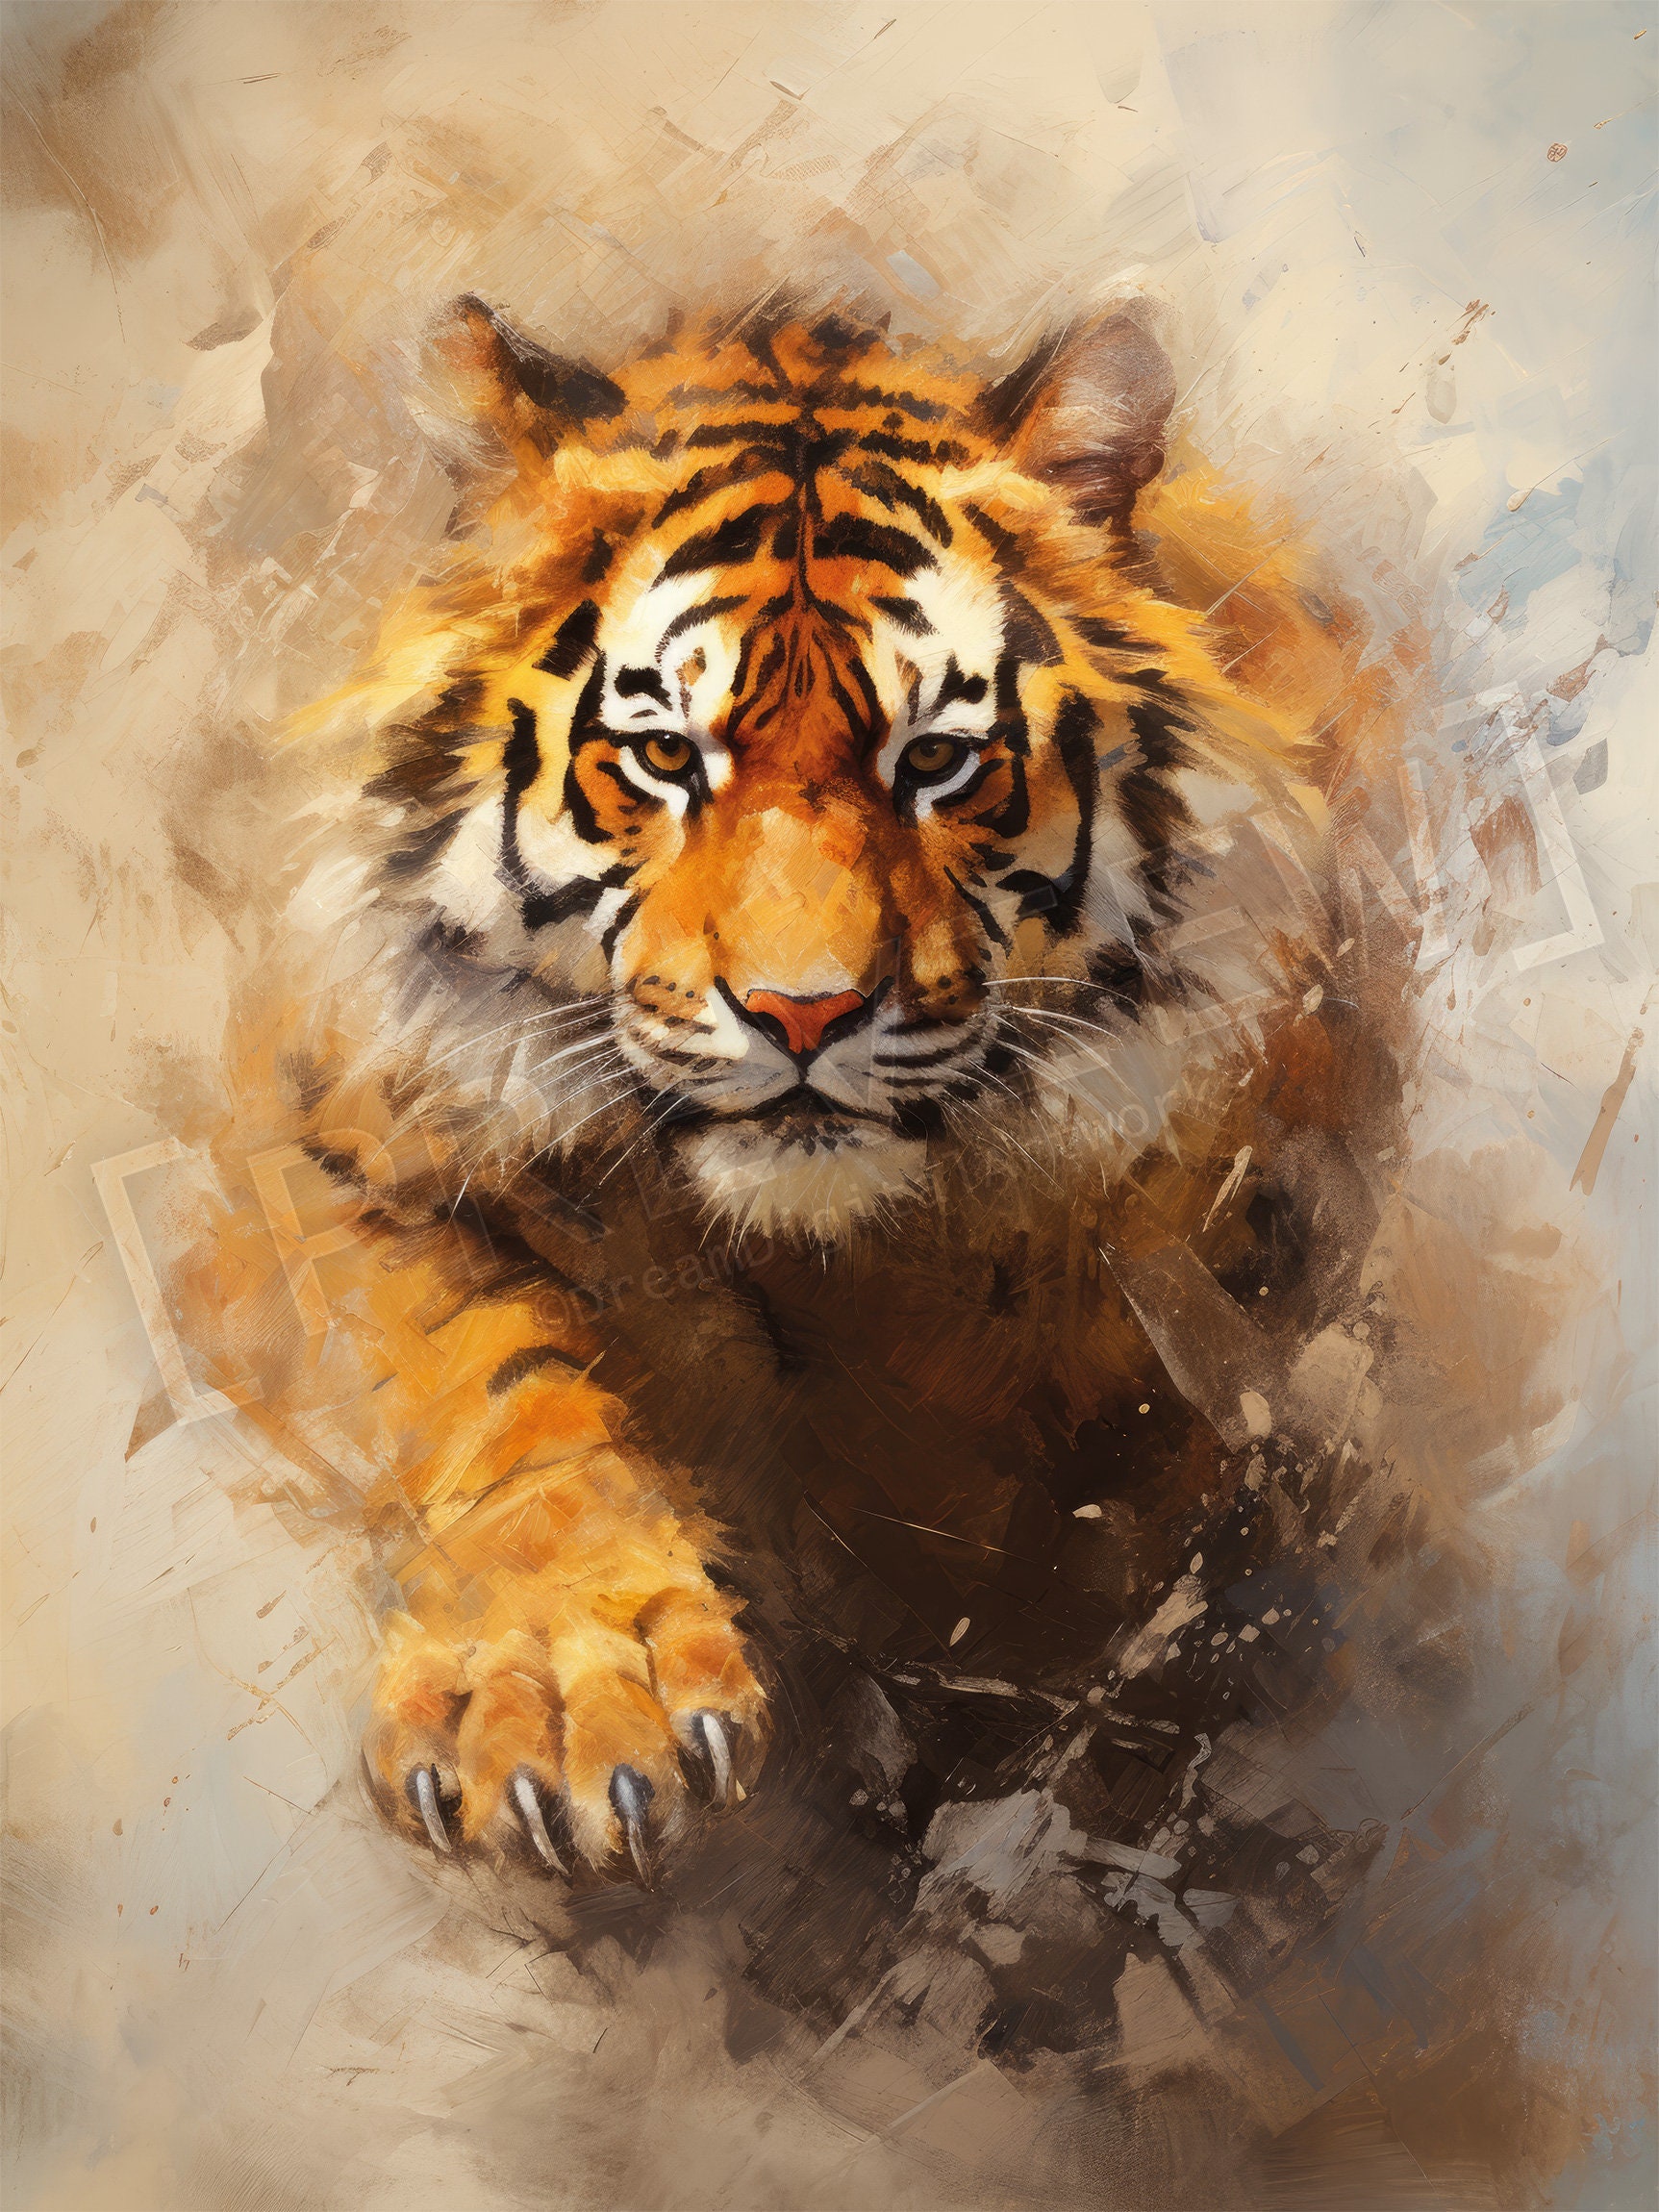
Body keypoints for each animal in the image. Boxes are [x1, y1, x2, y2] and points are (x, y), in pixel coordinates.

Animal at [174, 294, 1418, 1889]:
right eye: (662, 756)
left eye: (938, 761)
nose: (804, 1011)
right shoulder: (304, 1167)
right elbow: (486, 1374)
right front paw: (563, 1694)